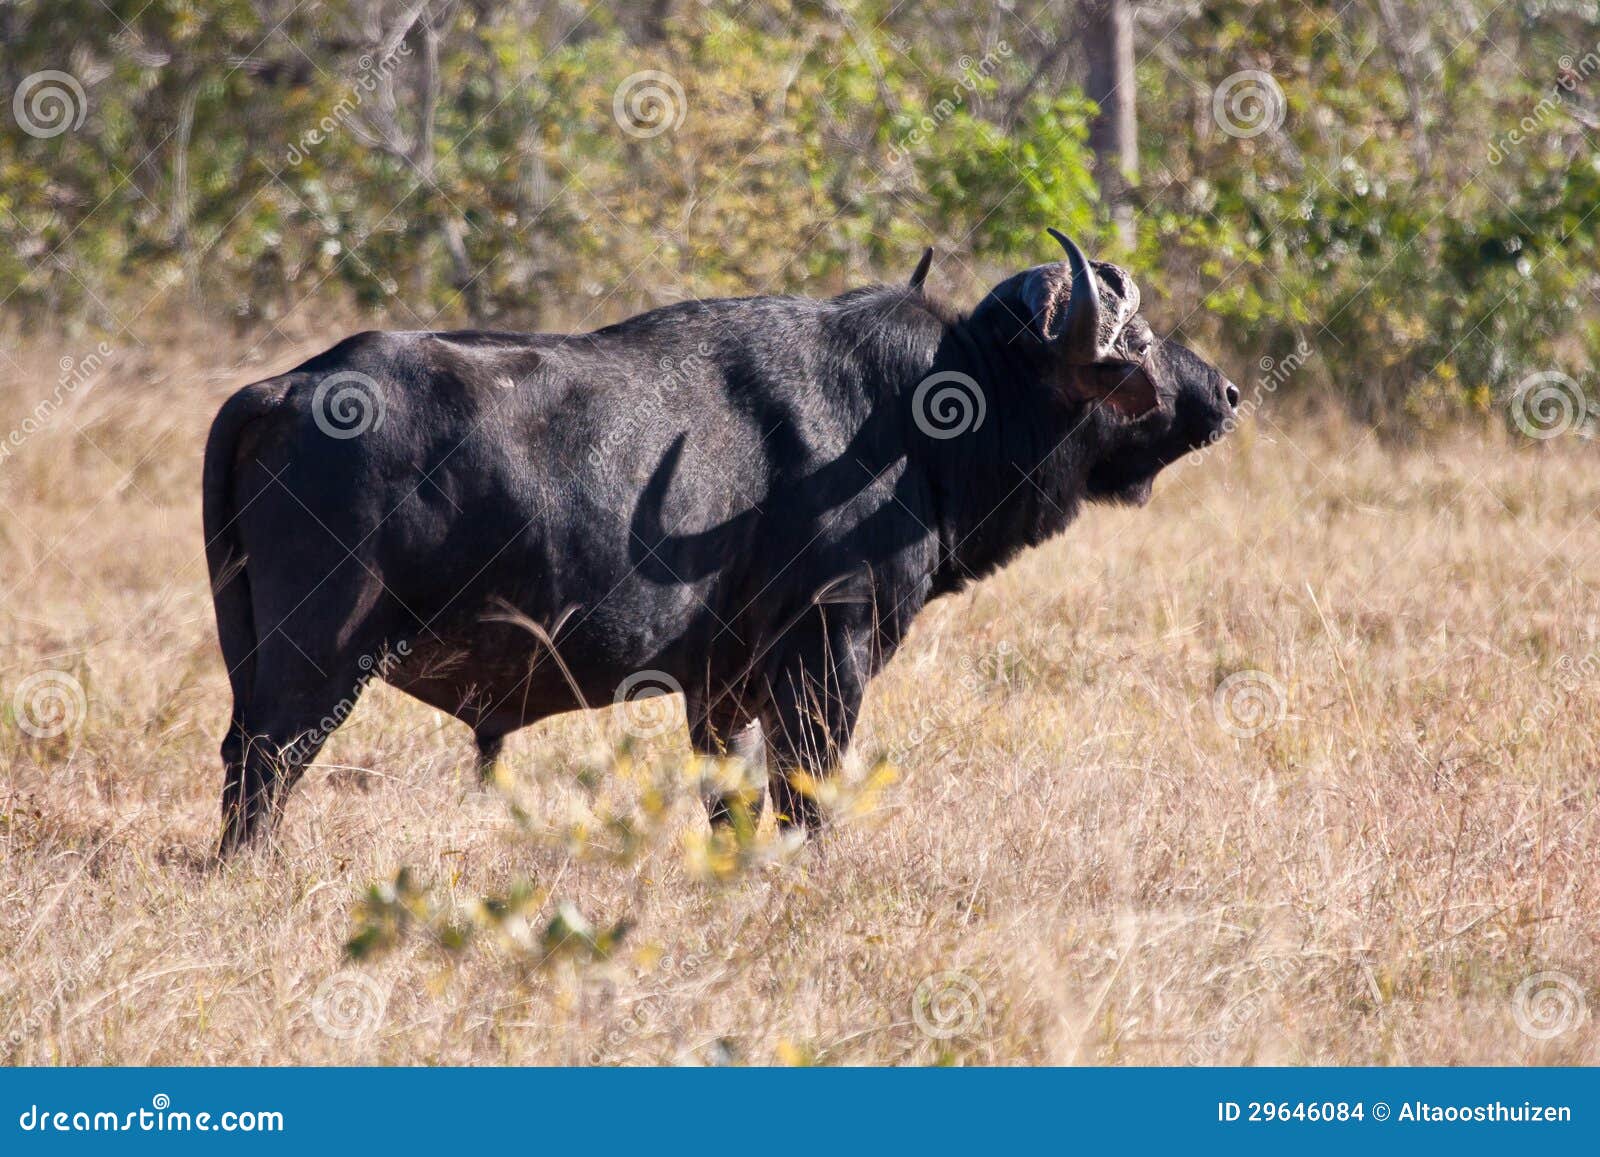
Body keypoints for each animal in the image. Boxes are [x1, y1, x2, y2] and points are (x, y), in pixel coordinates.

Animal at [203, 230, 1237, 856]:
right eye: (1138, 336)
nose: (1223, 393)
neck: (911, 421)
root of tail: (290, 386)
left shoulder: (720, 688)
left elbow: (731, 802)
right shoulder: (828, 655)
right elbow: (805, 794)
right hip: (315, 664)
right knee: (265, 767)